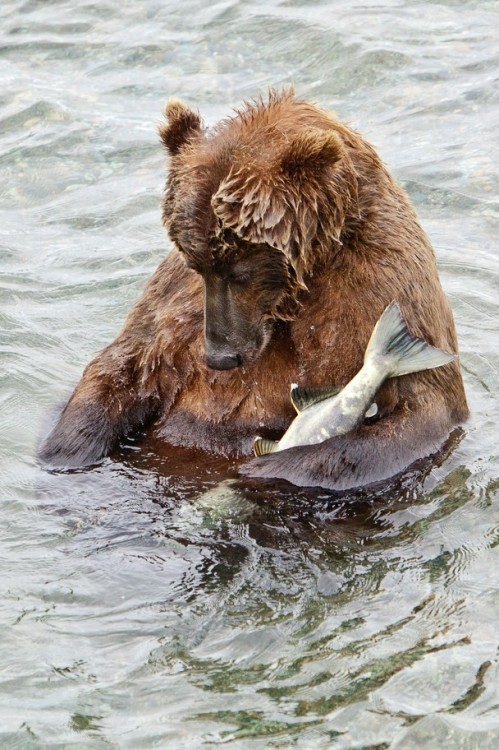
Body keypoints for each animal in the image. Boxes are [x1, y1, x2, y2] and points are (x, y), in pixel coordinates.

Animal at [39, 89, 468, 491]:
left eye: (241, 270)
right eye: (197, 263)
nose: (220, 356)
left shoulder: (377, 288)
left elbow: (421, 413)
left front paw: (265, 468)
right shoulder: (174, 305)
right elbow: (127, 363)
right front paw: (69, 445)